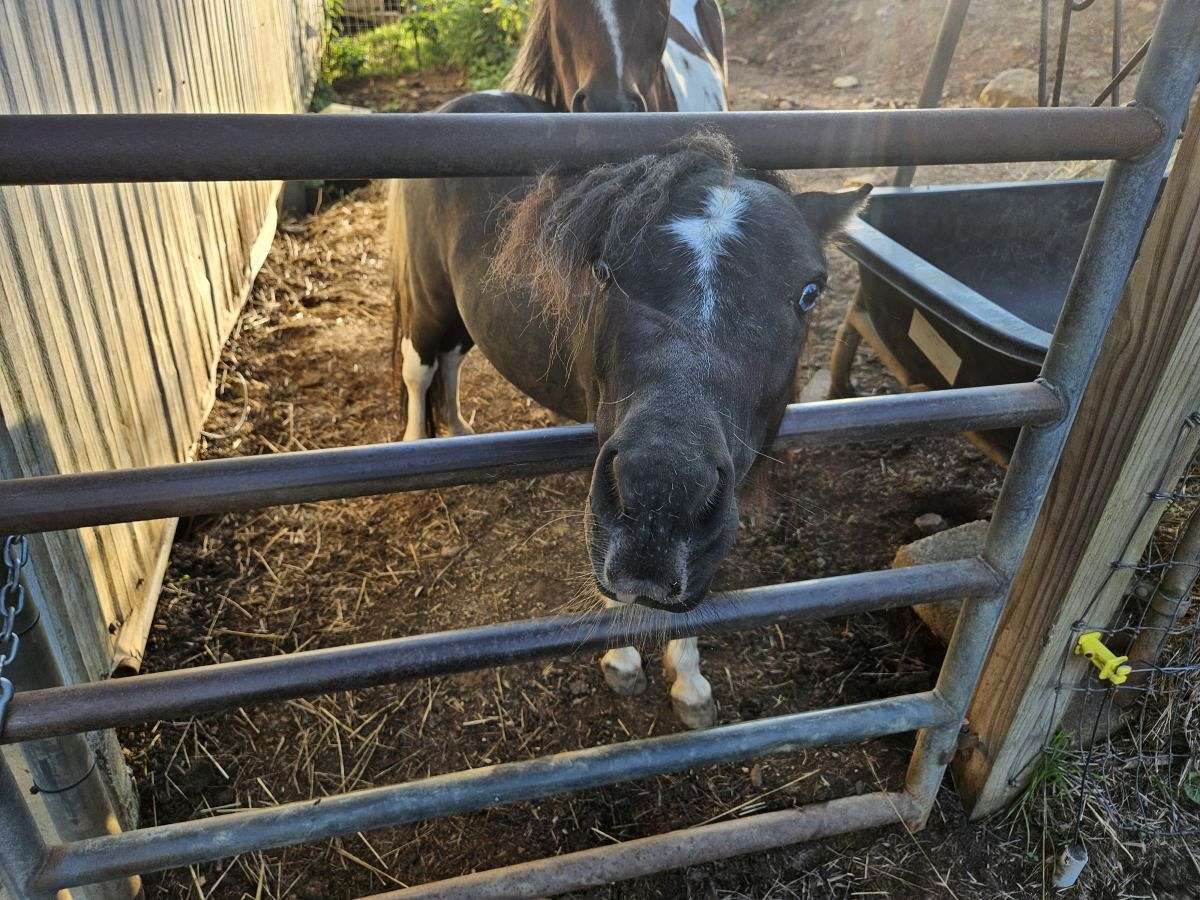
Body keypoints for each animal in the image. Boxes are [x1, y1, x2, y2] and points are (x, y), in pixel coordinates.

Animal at [389, 92, 868, 728]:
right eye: (603, 270)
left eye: (810, 292)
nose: (662, 500)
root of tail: (456, 105)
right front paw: (620, 660)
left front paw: (688, 682)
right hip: (431, 299)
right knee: (417, 365)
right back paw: (418, 452)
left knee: (450, 361)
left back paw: (460, 431)